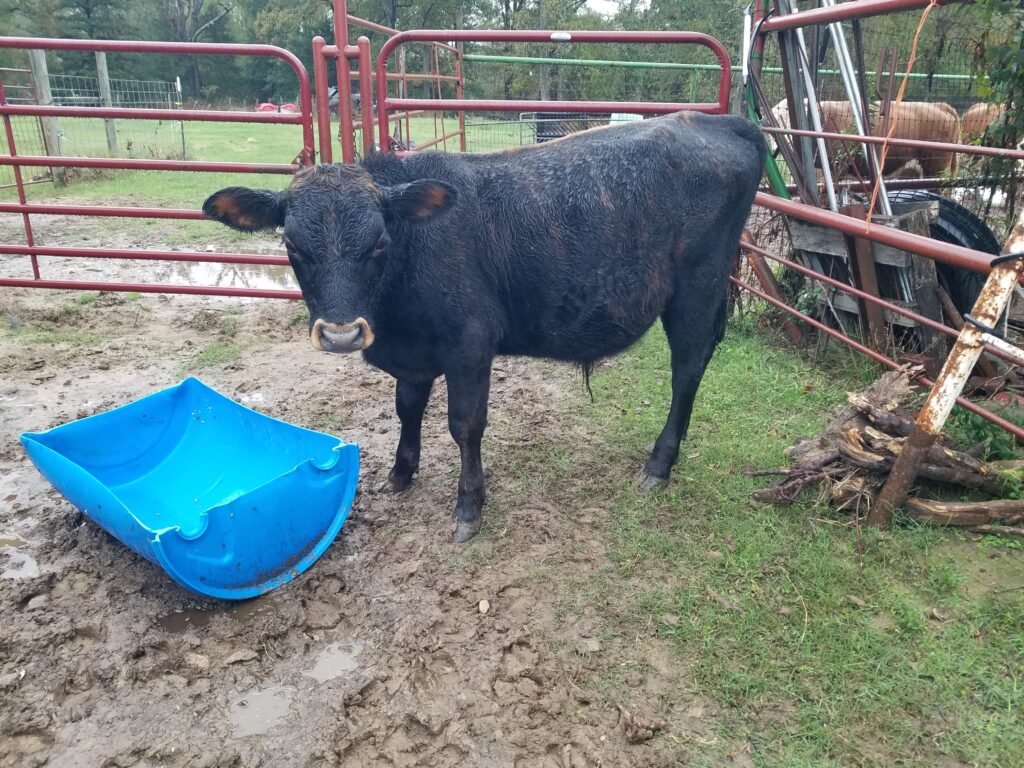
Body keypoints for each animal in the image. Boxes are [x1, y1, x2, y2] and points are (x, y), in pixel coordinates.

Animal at [202, 111, 767, 542]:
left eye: (379, 243)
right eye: (292, 246)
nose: (341, 334)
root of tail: (715, 119)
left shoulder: (470, 344)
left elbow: (464, 424)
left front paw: (469, 505)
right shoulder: (414, 354)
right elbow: (407, 407)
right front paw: (401, 472)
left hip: (697, 289)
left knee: (687, 369)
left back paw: (659, 464)